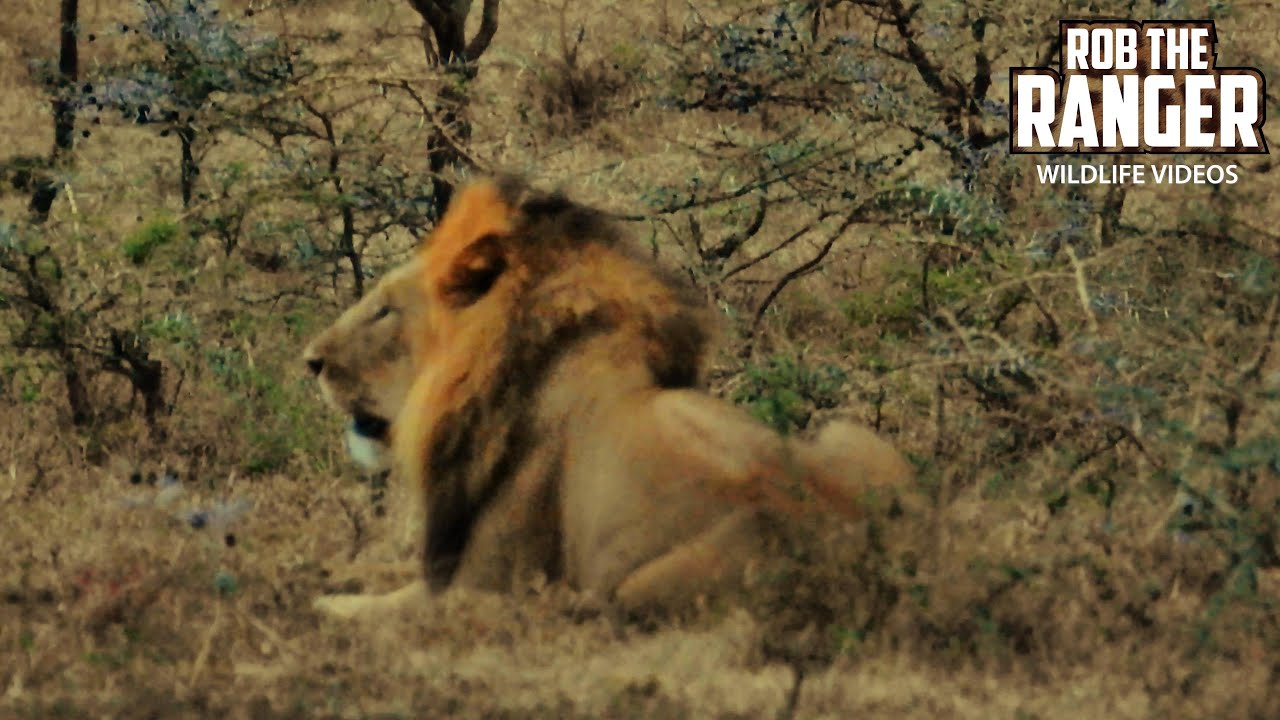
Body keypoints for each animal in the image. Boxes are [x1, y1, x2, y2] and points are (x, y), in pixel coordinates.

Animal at [304, 176, 916, 619]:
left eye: (383, 309)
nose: (310, 361)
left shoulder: (482, 586)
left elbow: (363, 609)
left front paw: (318, 601)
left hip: (648, 583)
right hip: (851, 435)